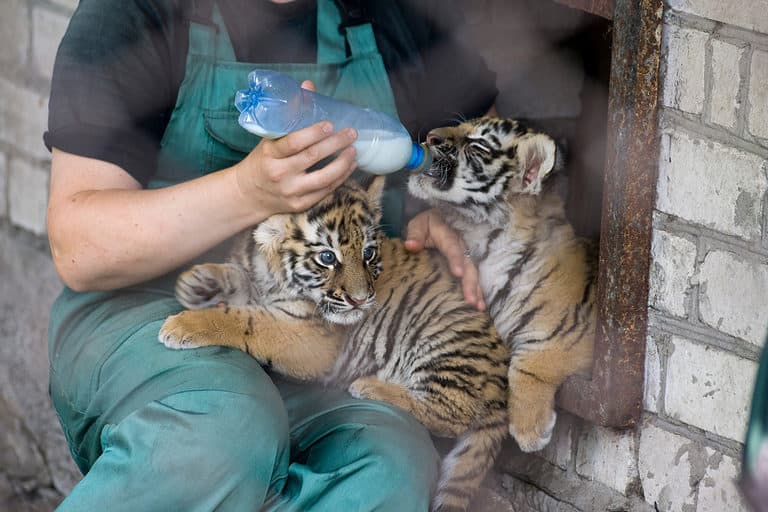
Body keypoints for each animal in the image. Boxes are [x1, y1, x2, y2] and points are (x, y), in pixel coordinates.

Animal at [158, 177, 509, 512]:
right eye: (327, 257)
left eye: (368, 253)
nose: (361, 301)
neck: (270, 274)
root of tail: (503, 389)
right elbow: (238, 277)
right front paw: (198, 282)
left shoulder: (307, 337)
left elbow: (247, 321)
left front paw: (183, 324)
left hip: (440, 344)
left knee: (453, 414)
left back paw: (370, 386)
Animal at [407, 116, 597, 453]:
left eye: (478, 144)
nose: (429, 137)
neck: (483, 240)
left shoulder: (571, 331)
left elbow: (528, 363)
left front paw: (529, 430)